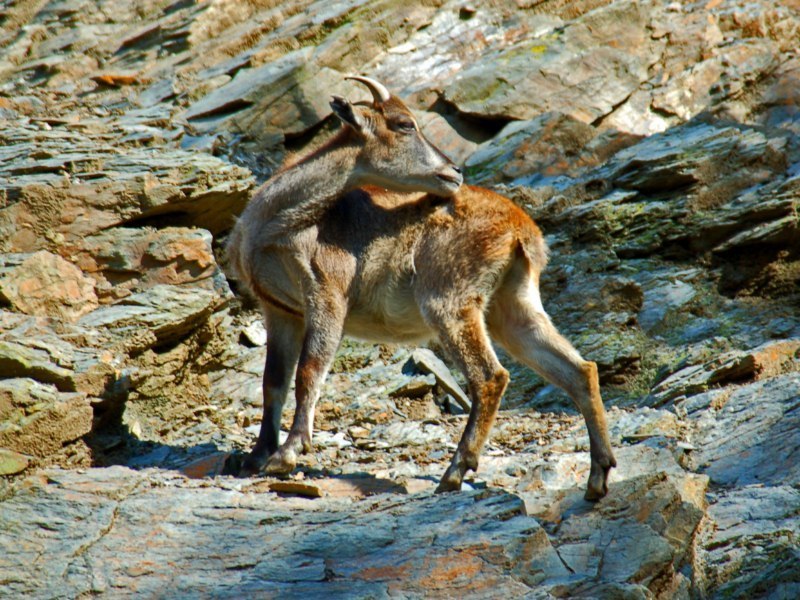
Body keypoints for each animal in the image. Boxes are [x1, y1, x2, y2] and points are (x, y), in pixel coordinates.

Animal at [226, 77, 616, 499]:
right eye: (404, 124)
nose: (454, 171)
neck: (280, 223)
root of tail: (521, 231)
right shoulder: (279, 308)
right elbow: (273, 382)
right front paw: (255, 457)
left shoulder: (327, 294)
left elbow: (308, 373)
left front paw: (287, 454)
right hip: (513, 304)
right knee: (579, 370)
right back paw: (598, 475)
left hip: (449, 300)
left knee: (490, 377)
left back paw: (455, 471)